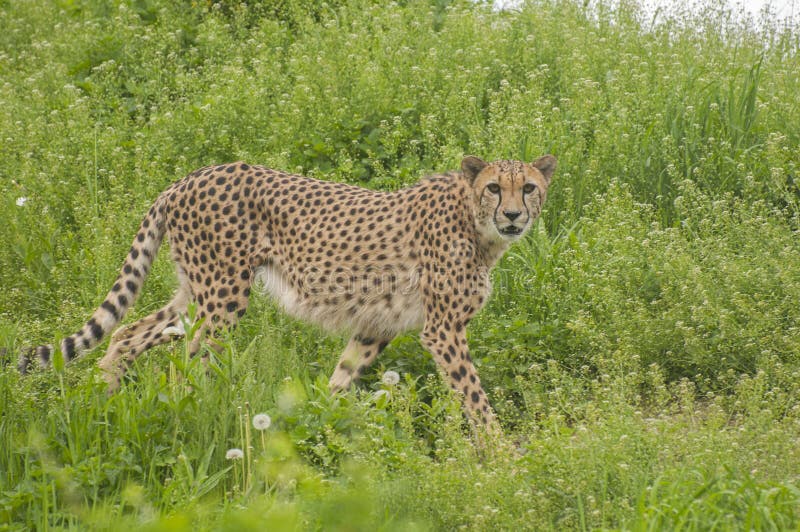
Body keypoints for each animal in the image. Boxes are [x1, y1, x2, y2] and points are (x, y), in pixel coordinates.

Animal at [16, 154, 556, 432]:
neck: (477, 225)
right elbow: (474, 396)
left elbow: (340, 381)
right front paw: (505, 457)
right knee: (191, 360)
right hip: (224, 296)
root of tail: (188, 177)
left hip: (193, 293)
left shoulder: (376, 326)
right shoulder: (442, 330)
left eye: (528, 187)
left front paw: (320, 432)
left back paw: (102, 402)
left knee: (127, 333)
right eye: (494, 188)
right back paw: (188, 422)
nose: (512, 214)